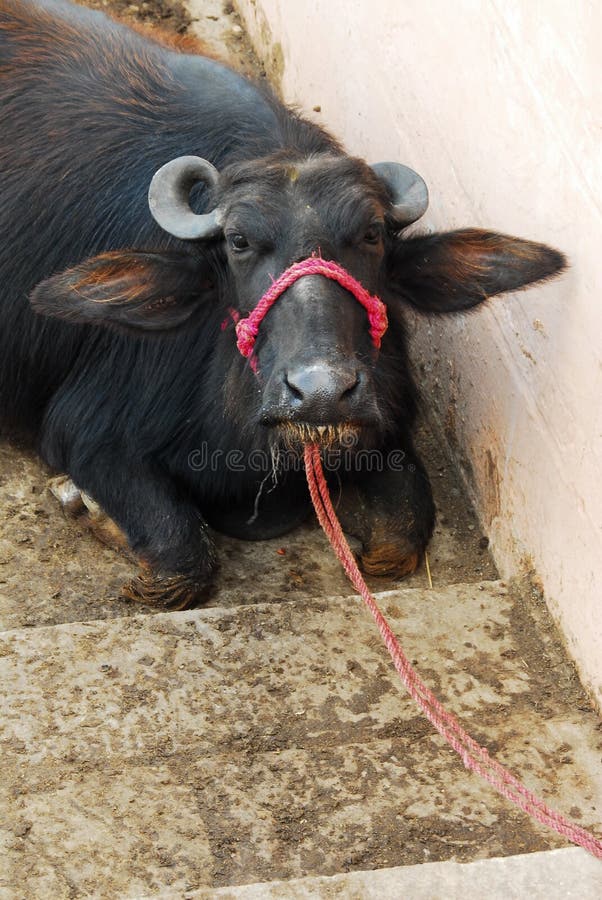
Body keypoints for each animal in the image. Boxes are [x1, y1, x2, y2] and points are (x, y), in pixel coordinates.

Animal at [0, 0, 565, 609]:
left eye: (371, 234)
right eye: (238, 242)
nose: (321, 393)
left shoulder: (387, 425)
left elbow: (400, 538)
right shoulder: (87, 429)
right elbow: (183, 557)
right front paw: (84, 504)